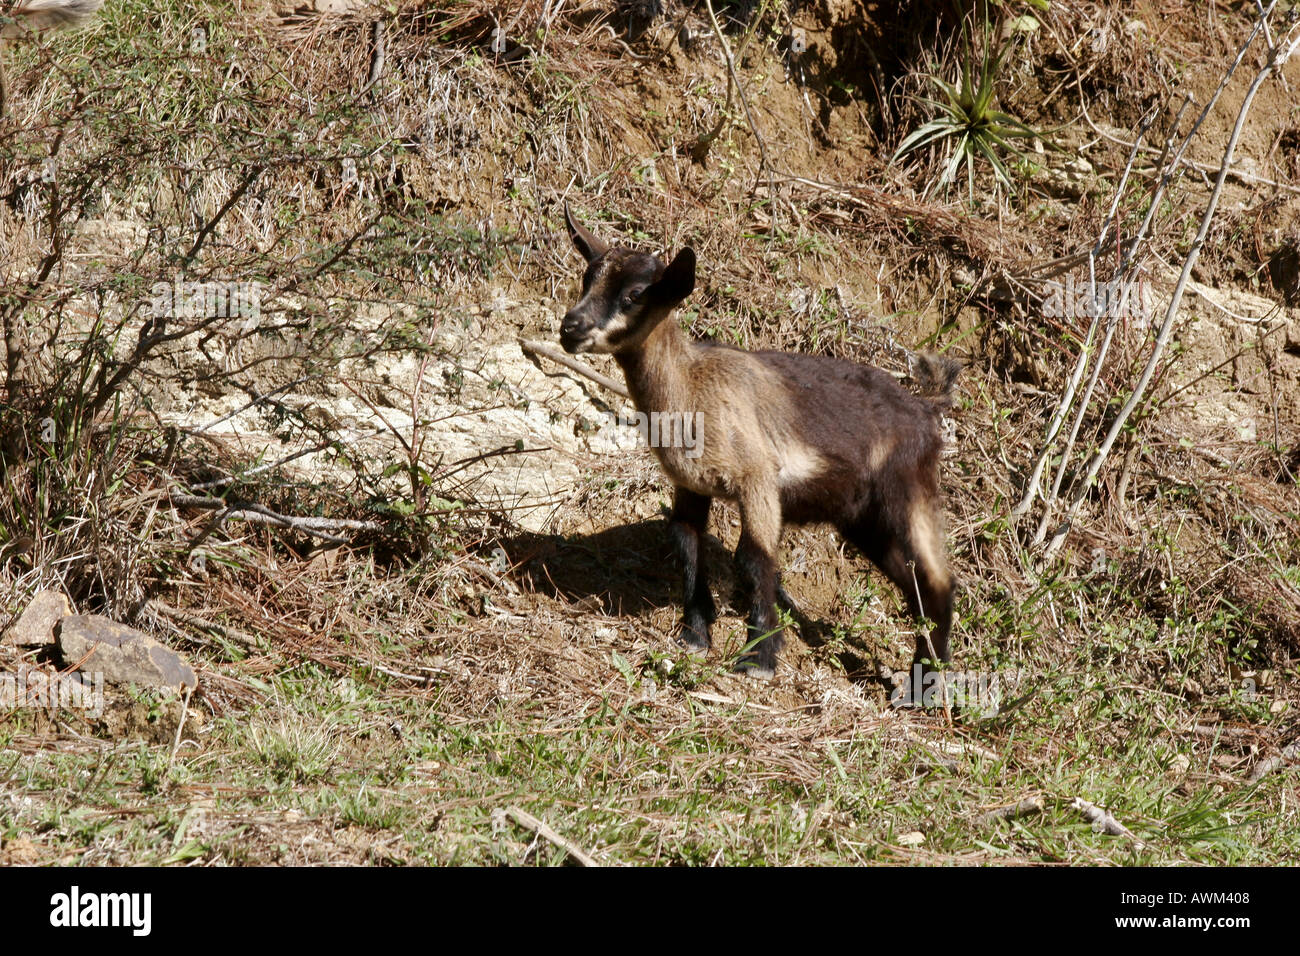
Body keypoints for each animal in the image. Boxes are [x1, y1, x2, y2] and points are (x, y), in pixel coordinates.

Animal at [560, 205, 961, 682]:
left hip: (907, 491)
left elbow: (754, 558)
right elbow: (686, 541)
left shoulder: (759, 478)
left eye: (634, 294)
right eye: (587, 279)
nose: (571, 327)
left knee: (937, 582)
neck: (693, 388)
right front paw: (696, 634)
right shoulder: (691, 484)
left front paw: (759, 657)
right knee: (913, 582)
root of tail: (926, 408)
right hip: (862, 516)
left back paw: (926, 682)